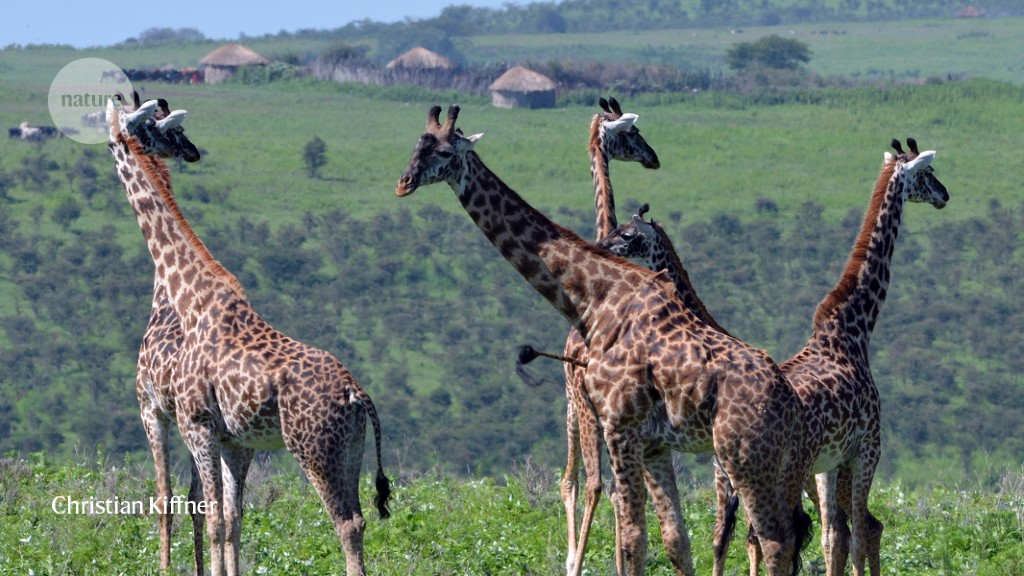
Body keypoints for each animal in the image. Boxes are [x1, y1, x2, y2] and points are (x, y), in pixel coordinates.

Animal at [105, 97, 391, 576]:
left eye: (116, 132)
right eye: (167, 131)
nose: (193, 152)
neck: (185, 298)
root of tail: (356, 393)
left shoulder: (186, 420)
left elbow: (200, 512)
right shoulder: (234, 440)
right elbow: (231, 519)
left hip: (314, 449)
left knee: (346, 523)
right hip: (351, 450)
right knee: (361, 518)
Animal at [396, 105, 810, 576]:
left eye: (445, 152)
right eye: (416, 145)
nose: (403, 183)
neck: (594, 300)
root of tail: (791, 405)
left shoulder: (619, 427)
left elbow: (632, 540)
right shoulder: (653, 445)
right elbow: (675, 541)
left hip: (743, 457)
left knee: (773, 541)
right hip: (775, 465)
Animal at [597, 139, 949, 576]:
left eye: (626, 235)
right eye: (928, 173)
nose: (944, 195)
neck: (850, 330)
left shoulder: (834, 459)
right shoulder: (867, 445)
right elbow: (830, 535)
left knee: (826, 530)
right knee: (837, 530)